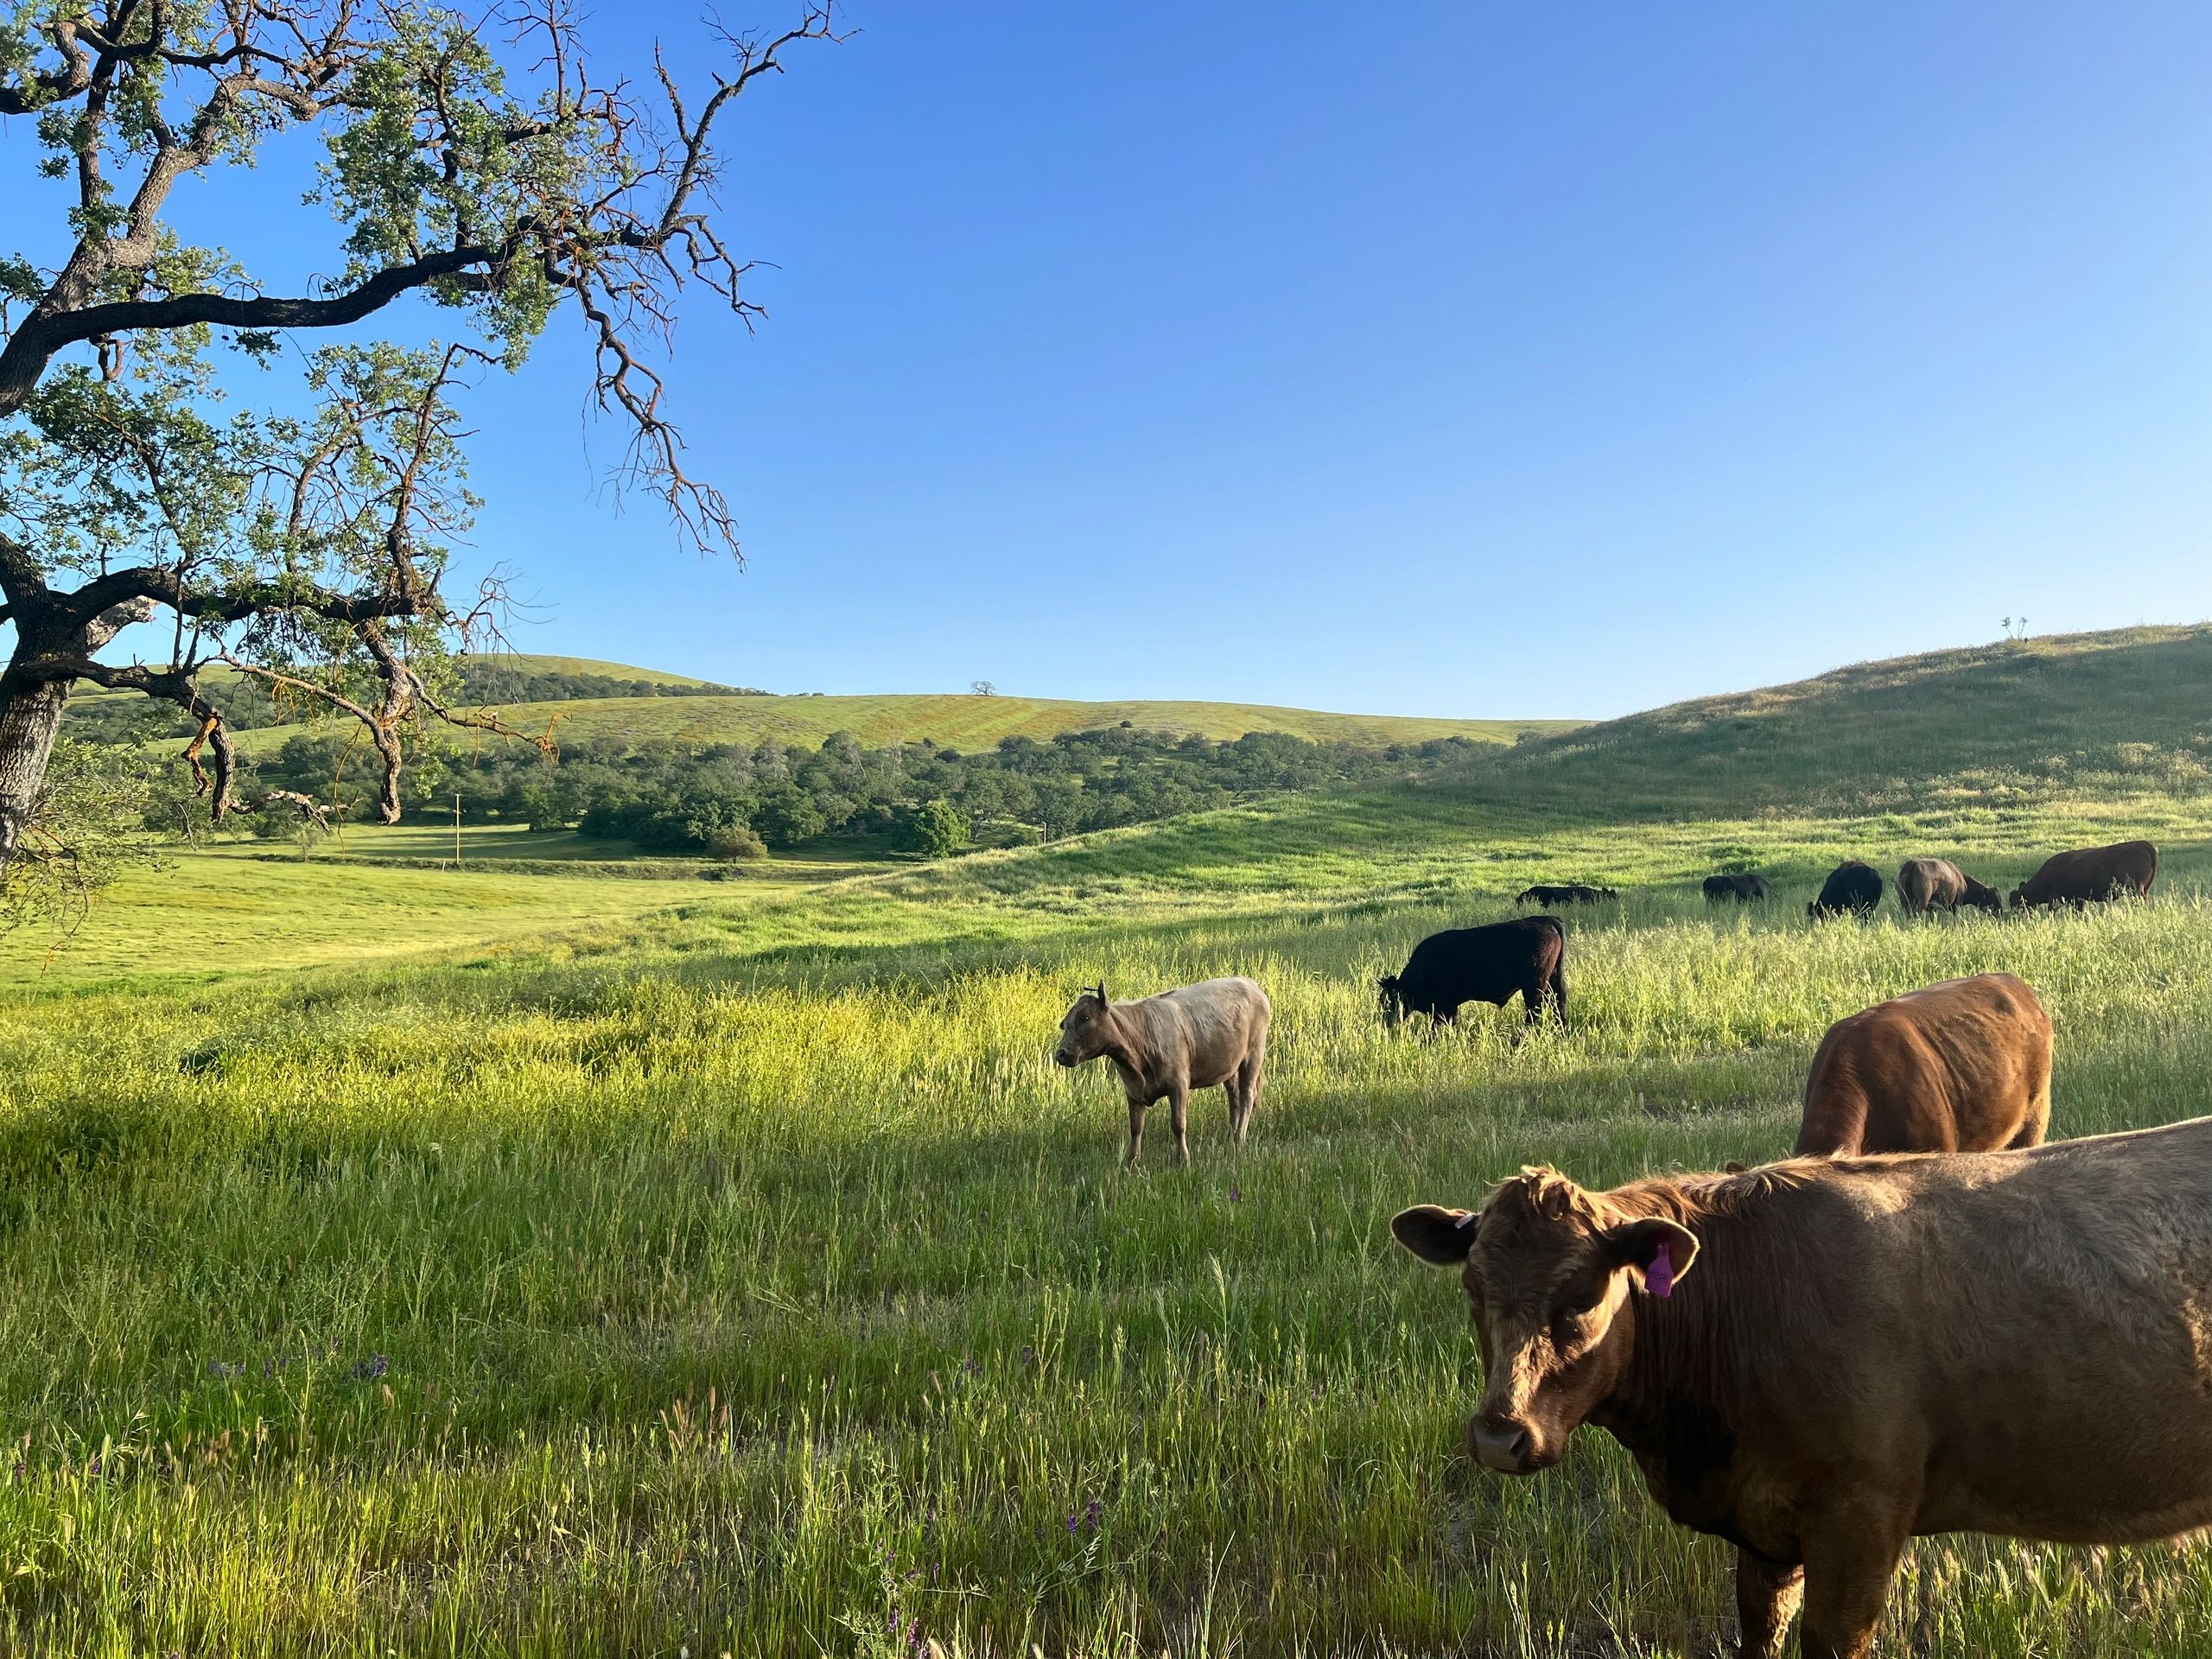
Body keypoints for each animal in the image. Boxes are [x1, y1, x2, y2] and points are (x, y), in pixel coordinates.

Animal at [1053, 977, 1269, 1165]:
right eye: (1064, 1024)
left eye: (1086, 1018)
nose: (1061, 1054)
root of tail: (1249, 983)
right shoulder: (1133, 1090)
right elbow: (1136, 1128)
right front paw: (1131, 1163)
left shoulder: (1179, 1085)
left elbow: (1178, 1124)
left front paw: (1184, 1160)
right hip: (1230, 1064)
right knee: (1234, 1096)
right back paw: (1231, 1134)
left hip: (1253, 1054)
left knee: (1247, 1096)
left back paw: (1239, 1139)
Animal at [1379, 918, 1565, 1032]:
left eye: (1389, 1000)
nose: (1387, 1022)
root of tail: (1547, 920)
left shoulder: (1443, 1007)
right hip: (1553, 980)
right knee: (1559, 1005)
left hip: (1534, 987)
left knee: (1534, 1013)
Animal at [2010, 839, 2158, 909]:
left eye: (2016, 901)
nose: (2015, 916)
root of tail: (2143, 845)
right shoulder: (2077, 899)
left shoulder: (2055, 899)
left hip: (2136, 890)